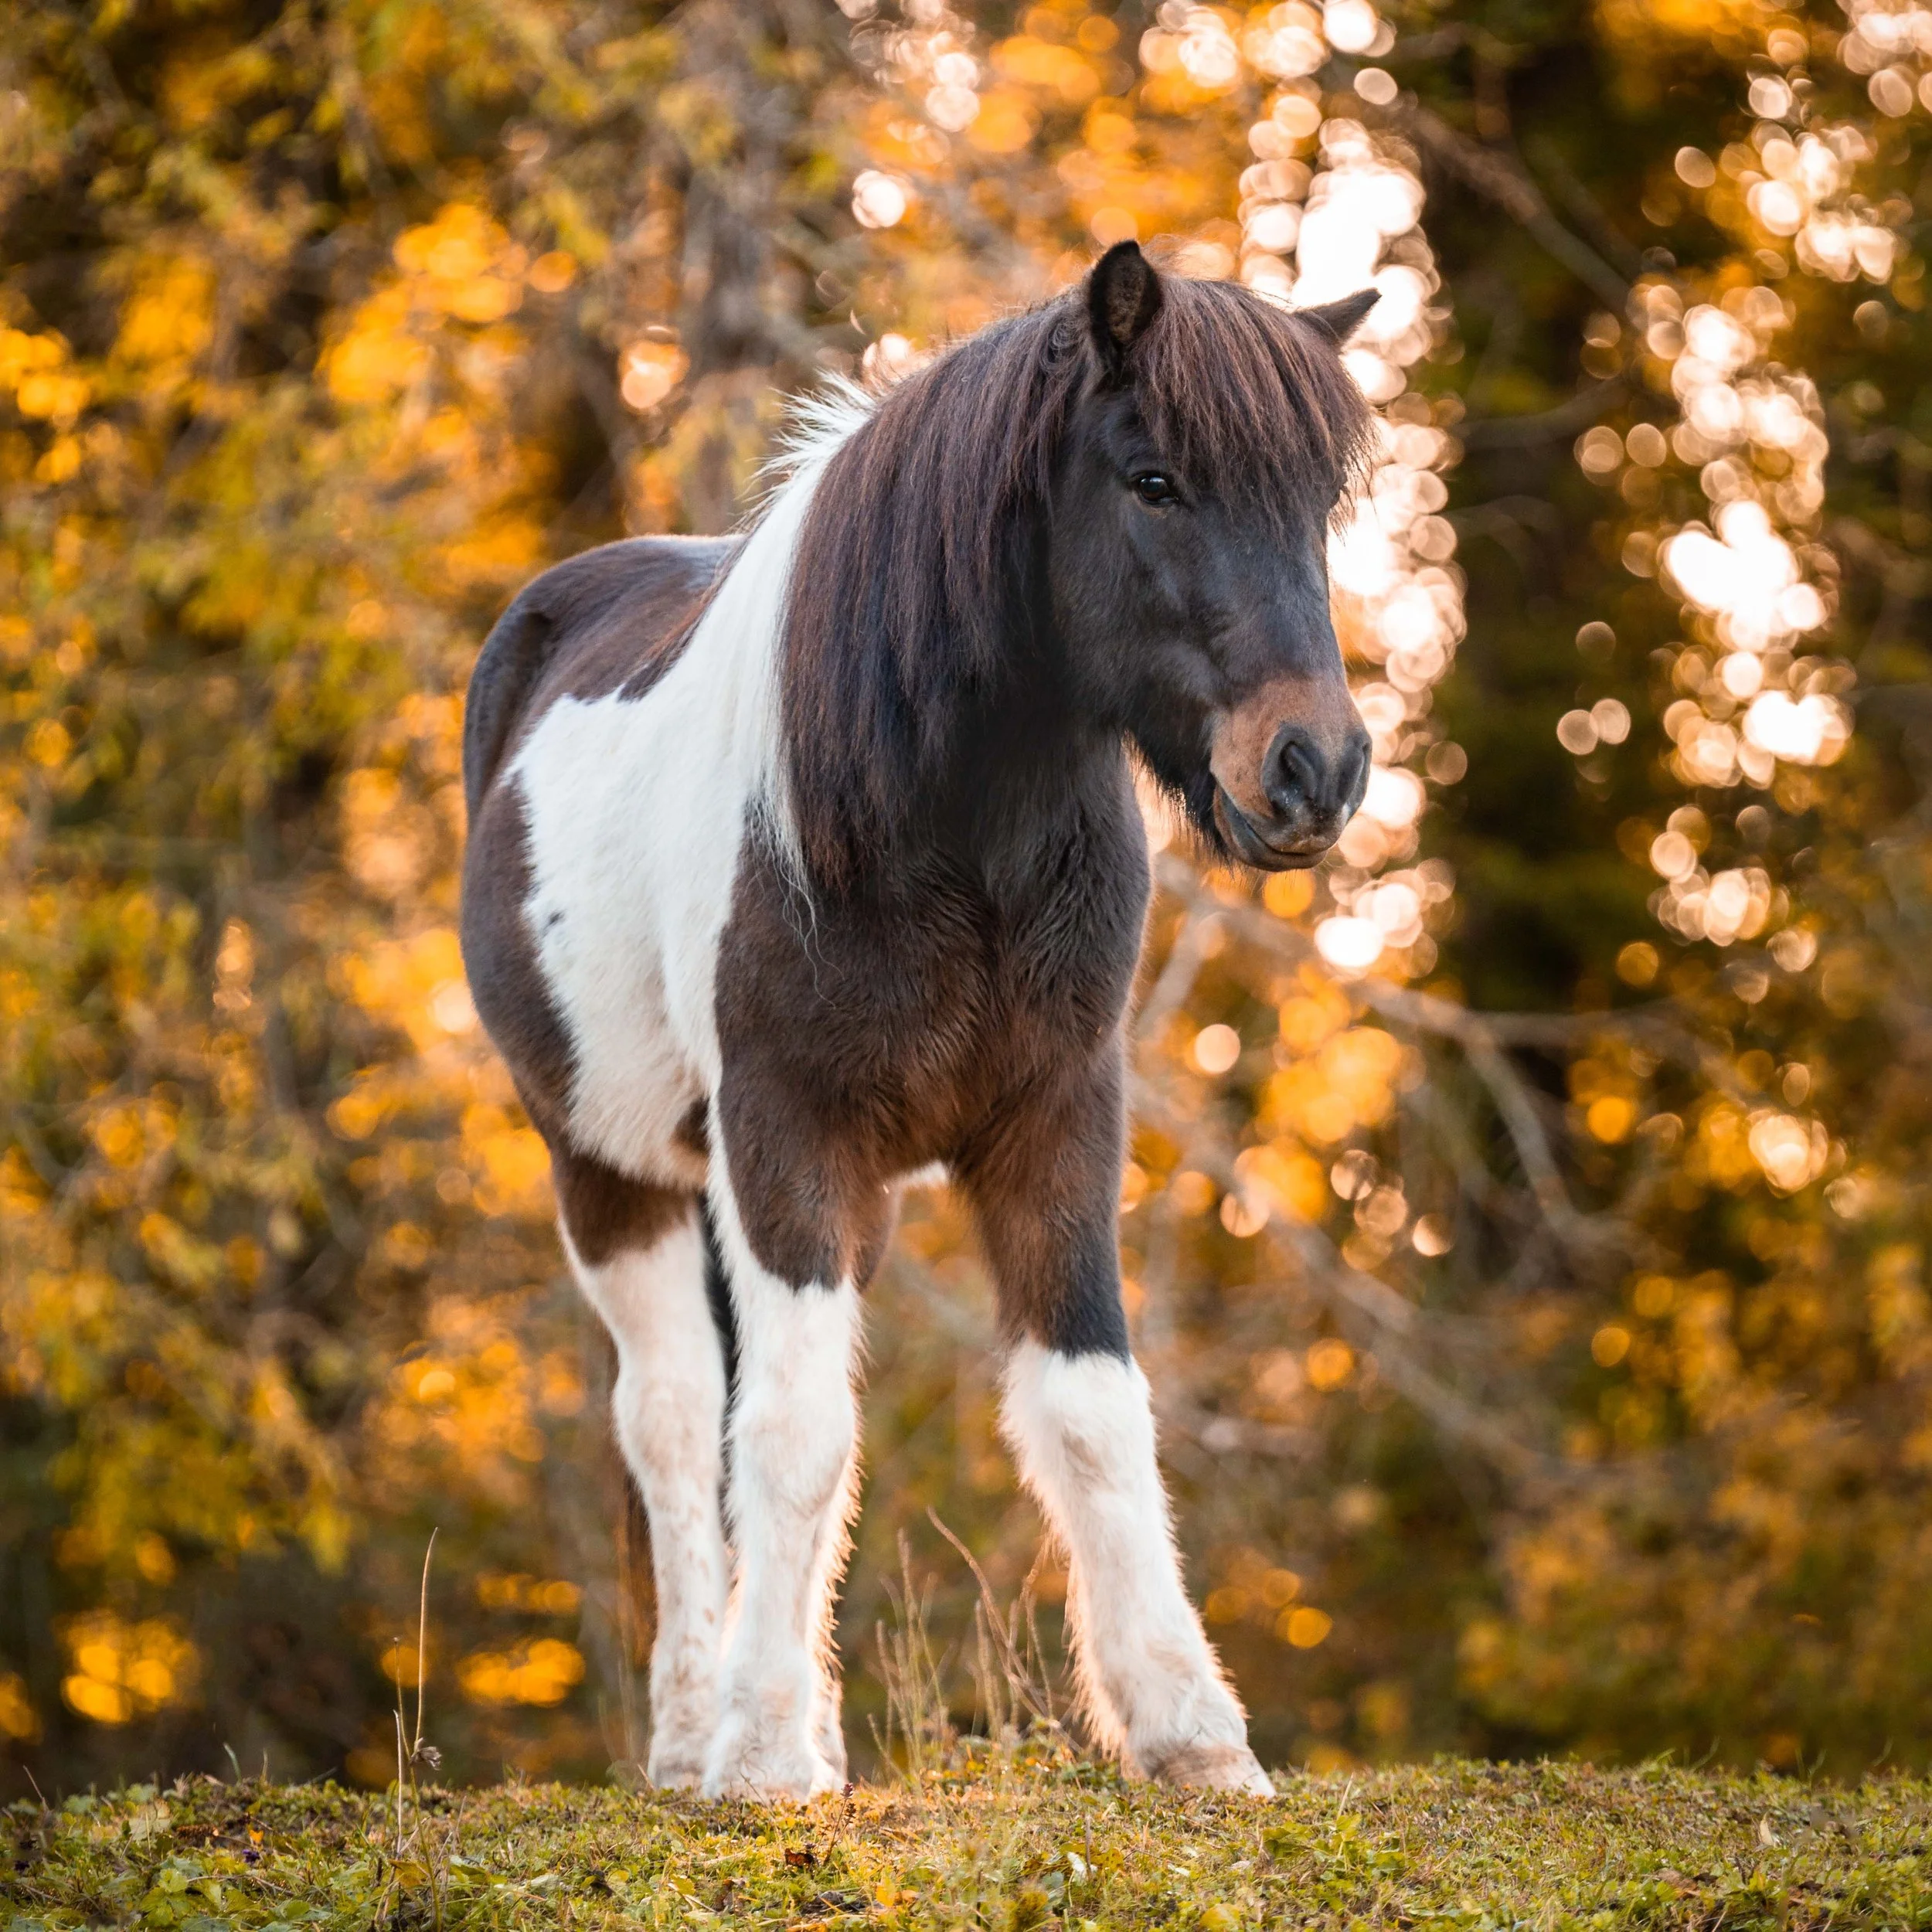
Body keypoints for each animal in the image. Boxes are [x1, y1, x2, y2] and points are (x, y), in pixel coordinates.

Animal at [459, 241, 1378, 1801]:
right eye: (1153, 481)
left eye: (1319, 498)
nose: (1313, 768)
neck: (951, 828)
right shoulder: (785, 1130)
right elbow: (788, 1433)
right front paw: (766, 1755)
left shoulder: (1058, 1118)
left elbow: (1089, 1411)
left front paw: (1191, 1730)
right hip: (610, 1167)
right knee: (673, 1415)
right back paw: (695, 1733)